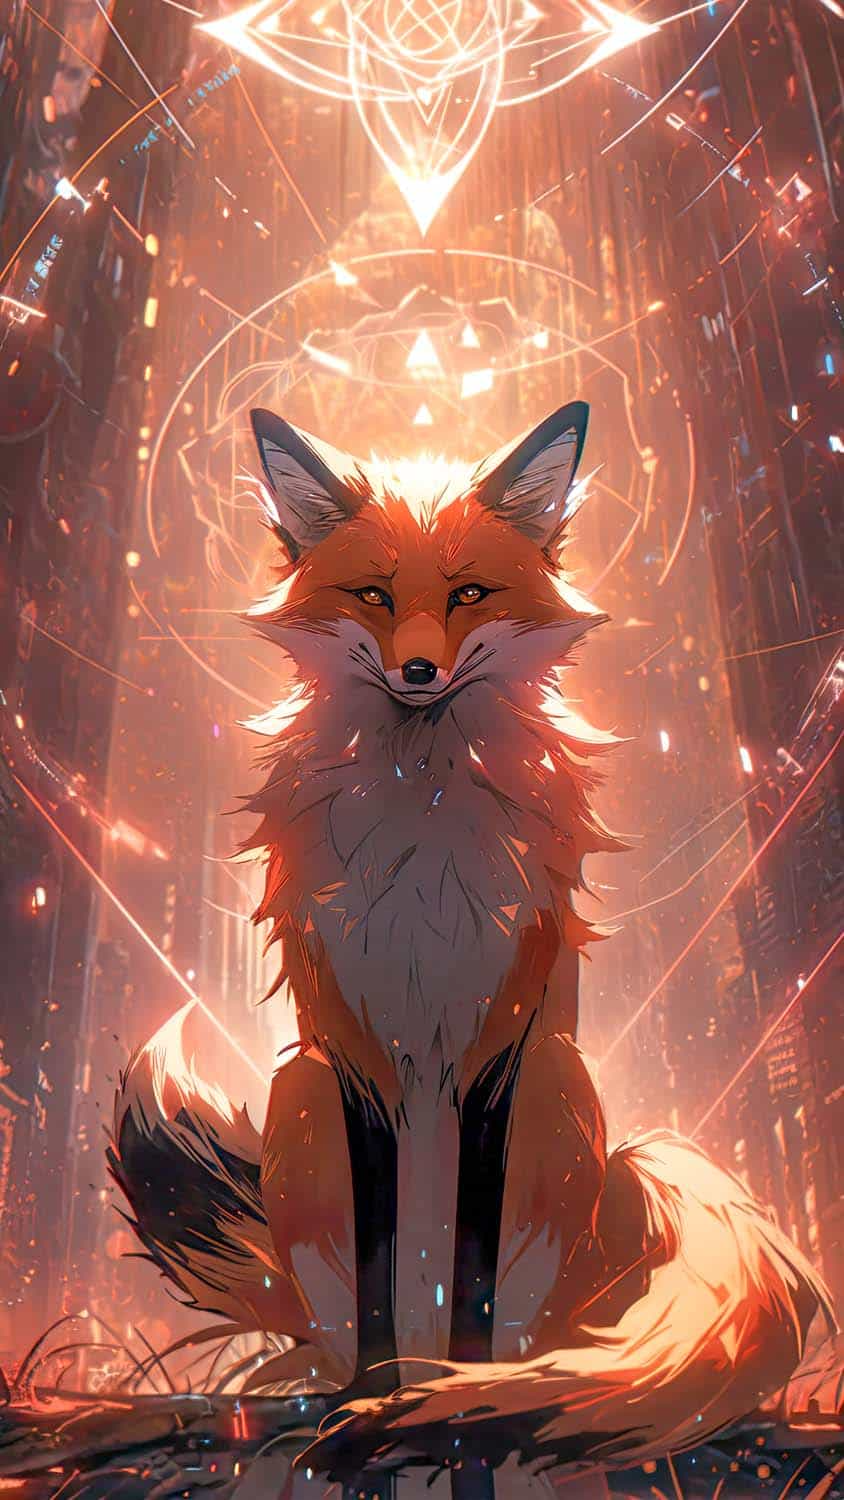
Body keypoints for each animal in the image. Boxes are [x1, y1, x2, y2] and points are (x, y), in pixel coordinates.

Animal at [110, 401, 832, 1490]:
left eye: (468, 596)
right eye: (373, 596)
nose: (418, 671)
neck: (424, 819)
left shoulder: (500, 1052)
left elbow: (477, 1285)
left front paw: (461, 1409)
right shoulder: (355, 1060)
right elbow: (376, 1288)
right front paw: (372, 1403)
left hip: (565, 1101)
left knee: (531, 1321)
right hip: (298, 1101)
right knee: (339, 1316)